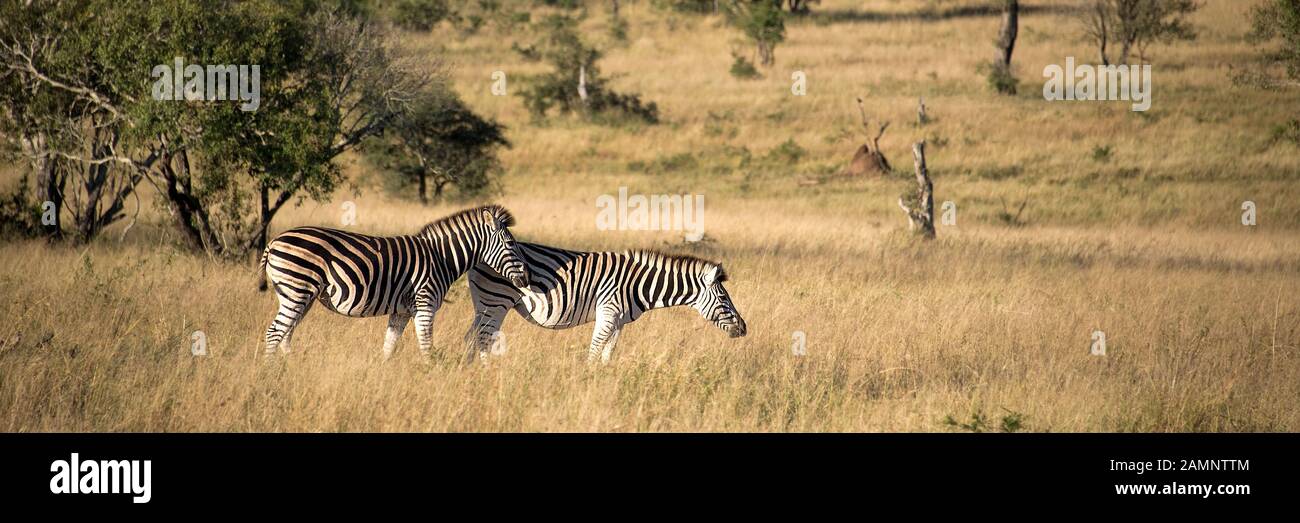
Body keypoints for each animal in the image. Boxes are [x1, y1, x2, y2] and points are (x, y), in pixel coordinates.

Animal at [258, 205, 530, 360]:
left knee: (286, 335)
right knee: (274, 333)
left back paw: (290, 367)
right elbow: (427, 347)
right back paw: (272, 373)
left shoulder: (402, 311)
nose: (527, 278)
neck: (440, 258)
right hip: (297, 290)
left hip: (299, 296)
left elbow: (389, 347)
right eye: (510, 244)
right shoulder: (424, 305)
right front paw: (430, 377)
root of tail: (273, 241)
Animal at [463, 242, 747, 363]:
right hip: (496, 302)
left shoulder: (619, 321)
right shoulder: (608, 312)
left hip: (486, 304)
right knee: (483, 338)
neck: (637, 284)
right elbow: (593, 351)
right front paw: (587, 385)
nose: (744, 329)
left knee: (471, 337)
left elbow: (607, 354)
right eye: (724, 297)